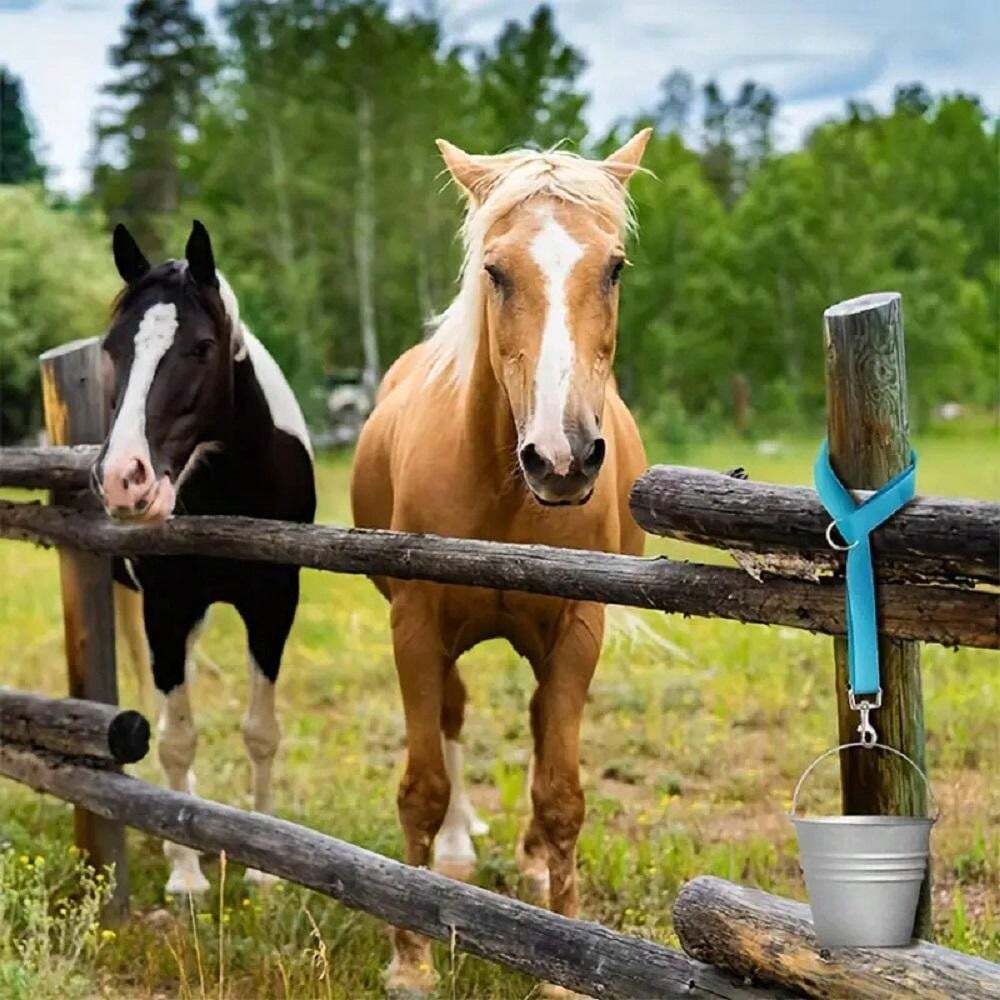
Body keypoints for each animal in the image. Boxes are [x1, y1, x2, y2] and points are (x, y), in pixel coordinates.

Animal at [95, 221, 316, 894]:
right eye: (113, 347)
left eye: (200, 347)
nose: (123, 480)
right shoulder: (166, 606)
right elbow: (176, 738)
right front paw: (186, 872)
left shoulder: (273, 603)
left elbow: (261, 733)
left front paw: (265, 871)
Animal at [351, 130, 651, 994]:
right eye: (495, 269)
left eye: (613, 267)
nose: (564, 456)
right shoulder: (415, 626)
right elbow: (422, 786)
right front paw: (411, 958)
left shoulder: (579, 629)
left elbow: (562, 796)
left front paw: (563, 962)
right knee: (452, 719)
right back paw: (455, 854)